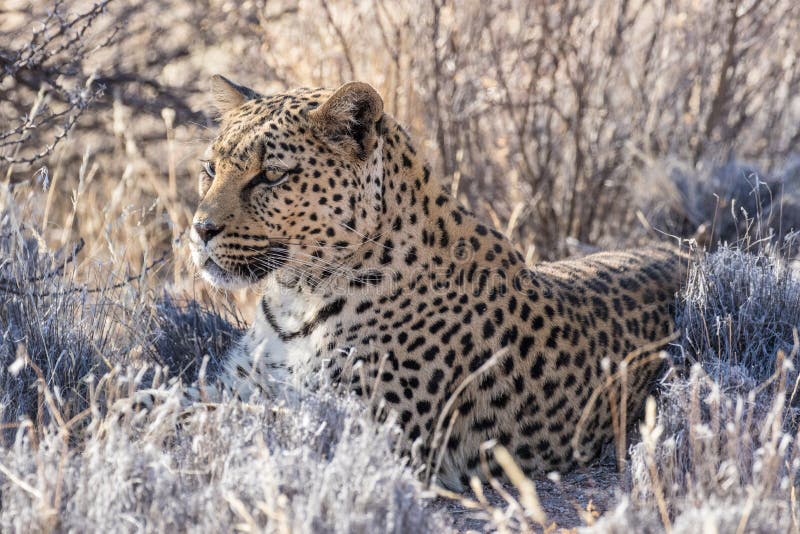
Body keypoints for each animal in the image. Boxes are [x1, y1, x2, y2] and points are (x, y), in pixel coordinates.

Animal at [188, 75, 688, 490]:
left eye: (272, 175)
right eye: (210, 169)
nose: (200, 229)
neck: (295, 298)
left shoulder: (358, 428)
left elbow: (208, 423)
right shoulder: (236, 387)